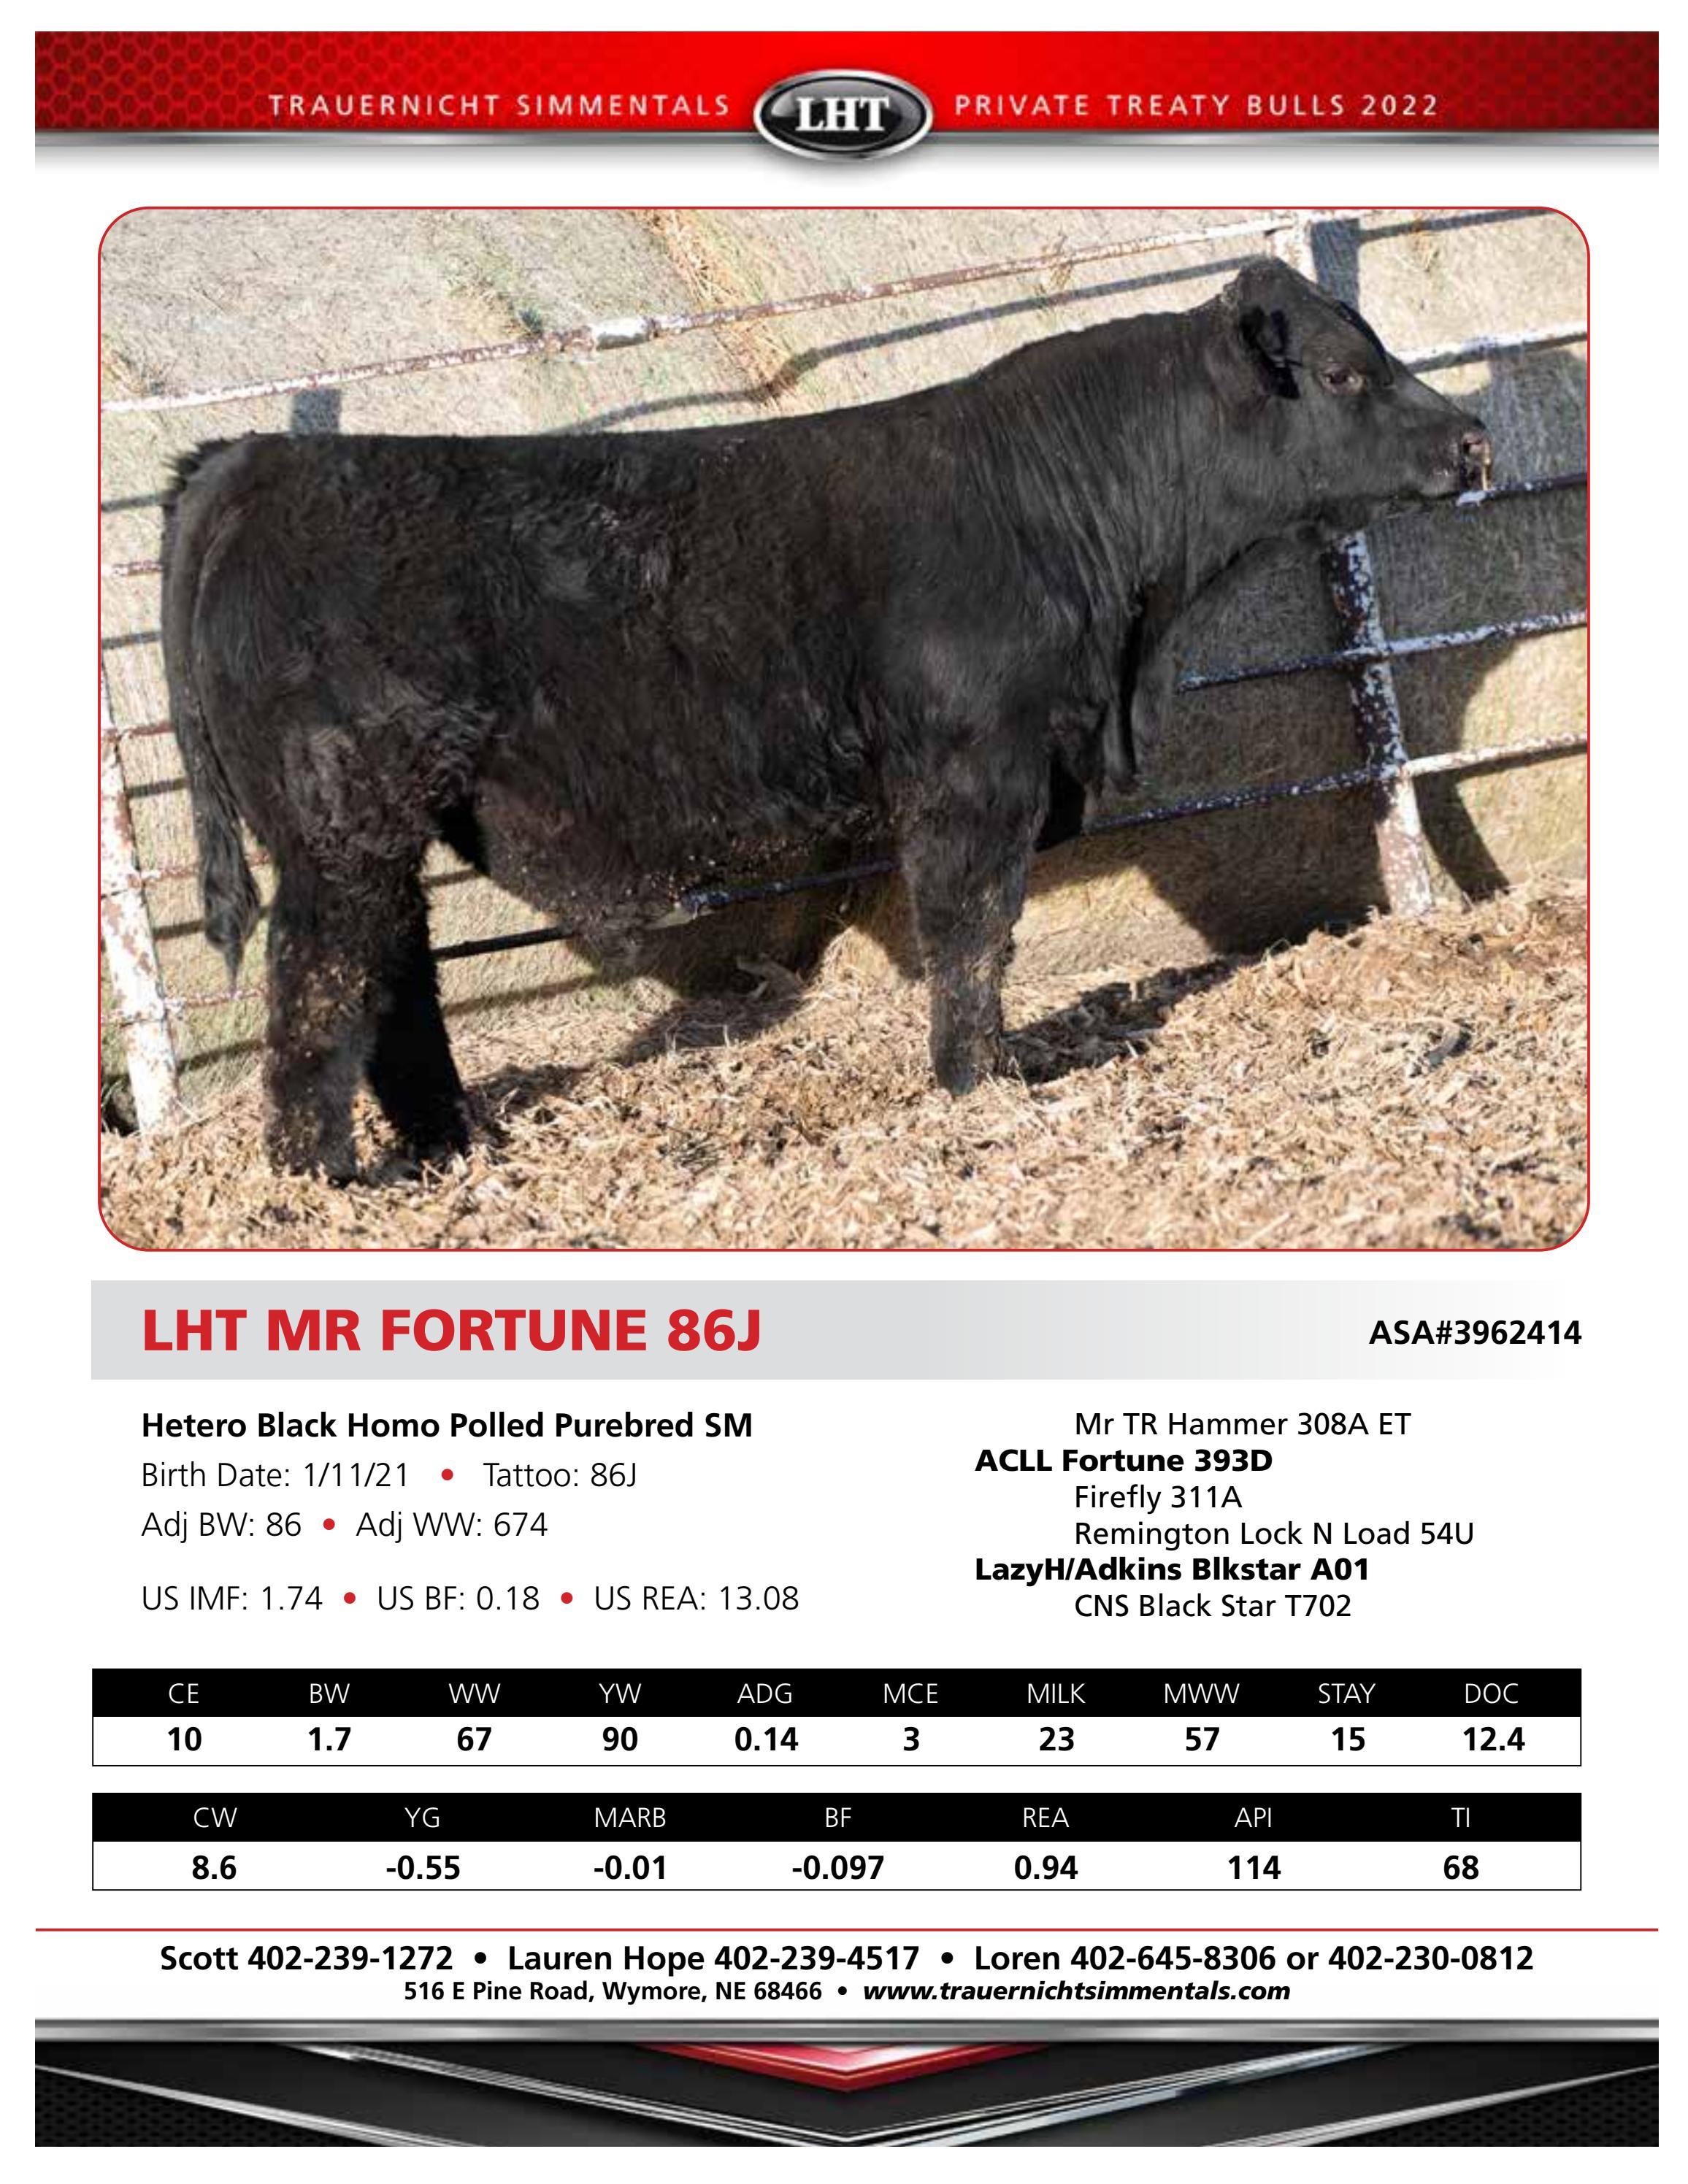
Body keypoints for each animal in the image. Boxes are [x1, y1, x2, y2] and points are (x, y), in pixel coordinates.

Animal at [161, 257, 1492, 1178]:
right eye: (1343, 375)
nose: (1476, 439)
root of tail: (251, 462)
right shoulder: (975, 772)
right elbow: (971, 932)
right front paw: (979, 1080)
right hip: (340, 819)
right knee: (320, 982)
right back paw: (330, 1176)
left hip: (374, 831)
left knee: (389, 982)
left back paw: (450, 1146)